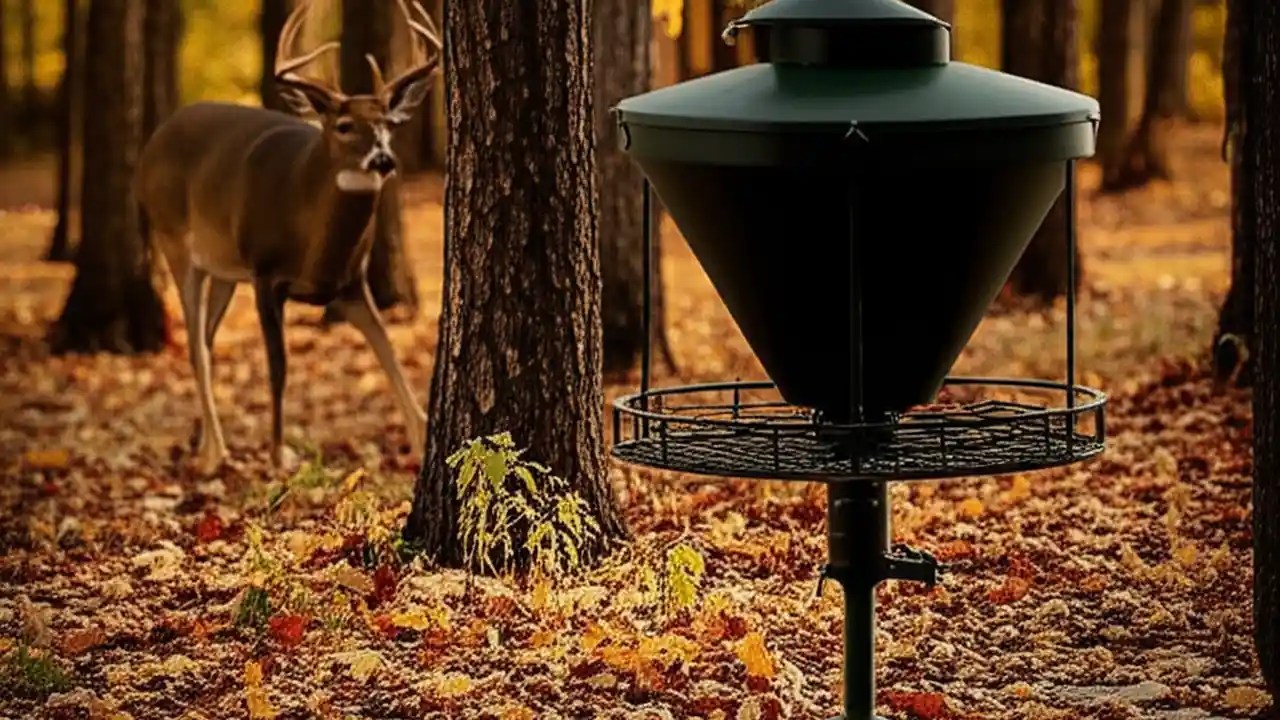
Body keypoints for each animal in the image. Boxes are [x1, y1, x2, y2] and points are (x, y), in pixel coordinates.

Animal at [134, 0, 440, 474]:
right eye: (344, 125)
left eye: (389, 123)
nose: (384, 159)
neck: (314, 243)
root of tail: (153, 142)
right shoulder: (265, 274)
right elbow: (278, 366)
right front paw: (279, 456)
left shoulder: (351, 283)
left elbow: (387, 350)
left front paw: (423, 438)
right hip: (174, 240)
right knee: (195, 346)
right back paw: (216, 453)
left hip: (224, 270)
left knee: (206, 339)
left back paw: (201, 441)